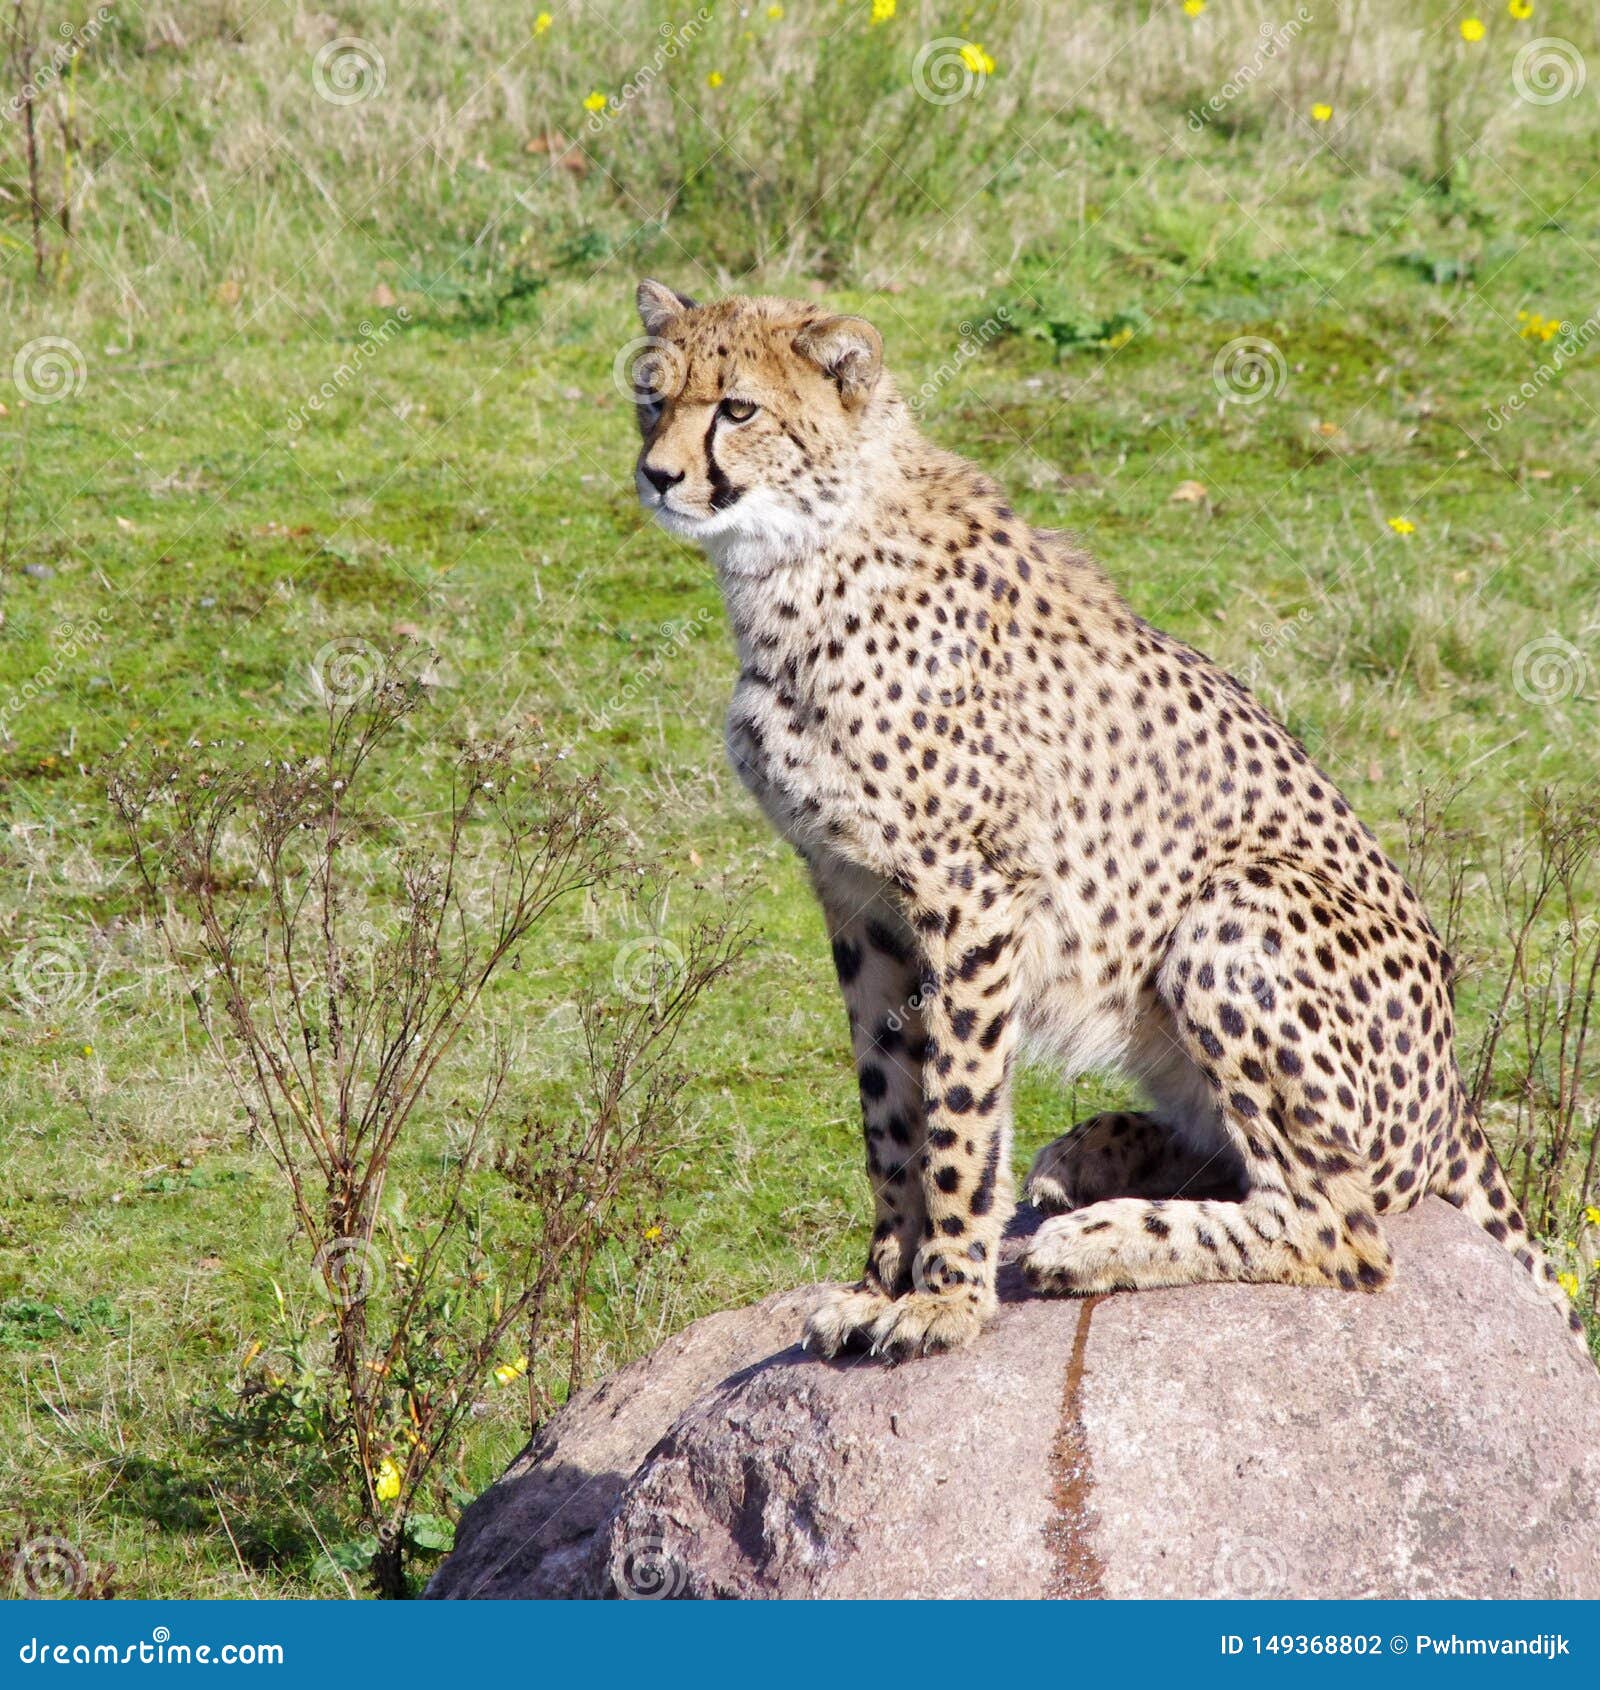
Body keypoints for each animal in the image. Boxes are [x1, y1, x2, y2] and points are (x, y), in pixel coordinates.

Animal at [628, 277, 1588, 1362]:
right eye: (651, 398)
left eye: (737, 409)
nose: (657, 476)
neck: (796, 558)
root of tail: (1457, 1091)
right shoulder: (854, 895)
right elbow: (890, 1111)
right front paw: (881, 1281)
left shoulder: (972, 891)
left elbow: (955, 1112)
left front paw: (946, 1299)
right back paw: (1090, 1153)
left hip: (1237, 909)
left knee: (1341, 1223)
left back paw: (1100, 1238)